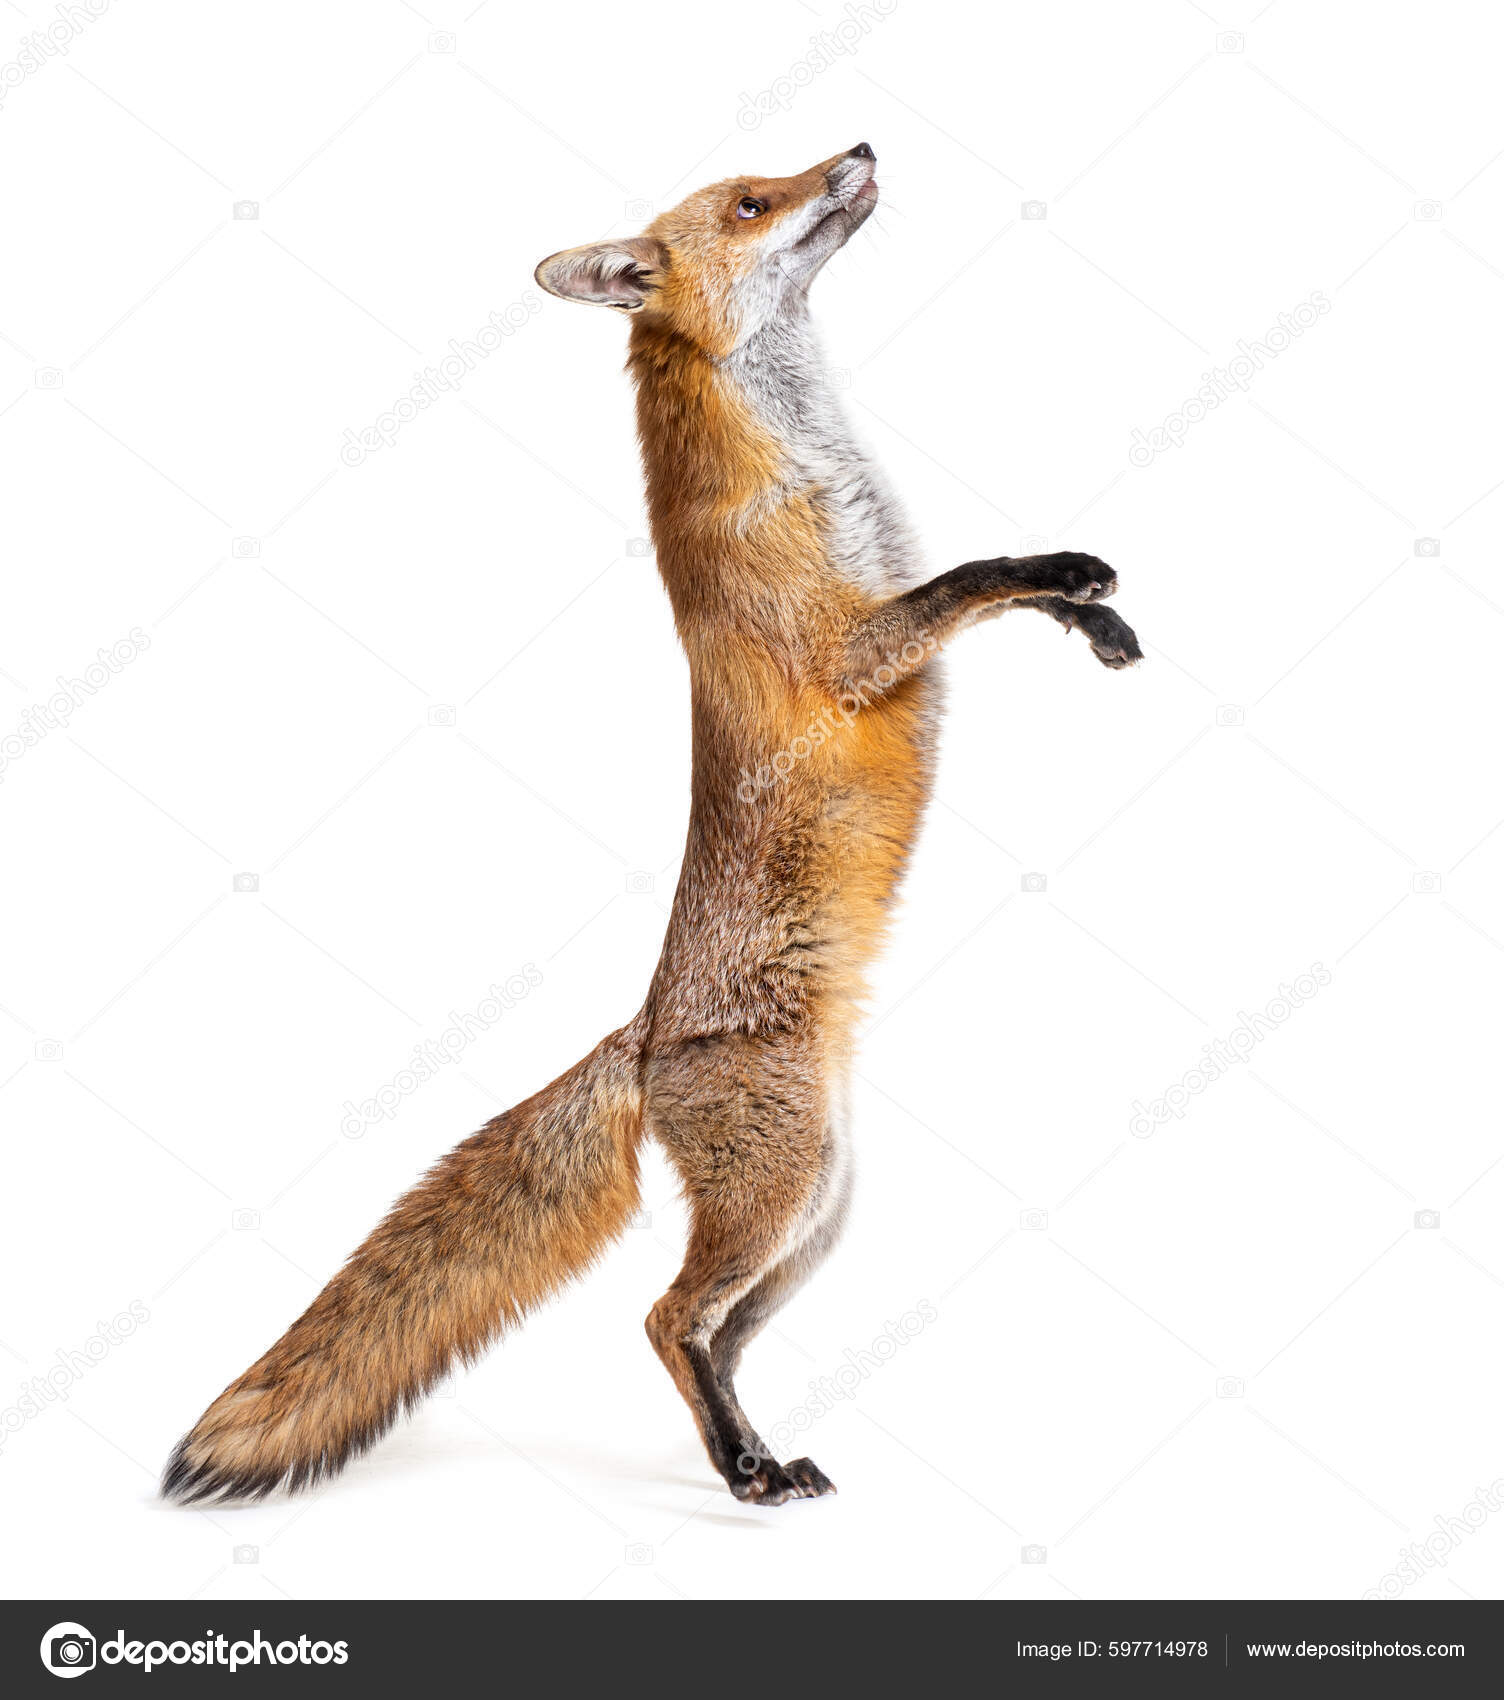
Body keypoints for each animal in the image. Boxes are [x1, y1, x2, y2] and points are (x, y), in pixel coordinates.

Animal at [164, 142, 1140, 1509]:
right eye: (750, 203)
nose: (859, 149)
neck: (809, 470)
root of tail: (643, 1031)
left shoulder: (891, 615)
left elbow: (989, 595)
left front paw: (1095, 620)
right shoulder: (853, 649)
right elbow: (974, 579)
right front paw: (1066, 571)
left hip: (818, 1210)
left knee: (709, 1335)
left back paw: (754, 1455)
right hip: (781, 1192)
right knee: (663, 1316)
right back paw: (739, 1471)